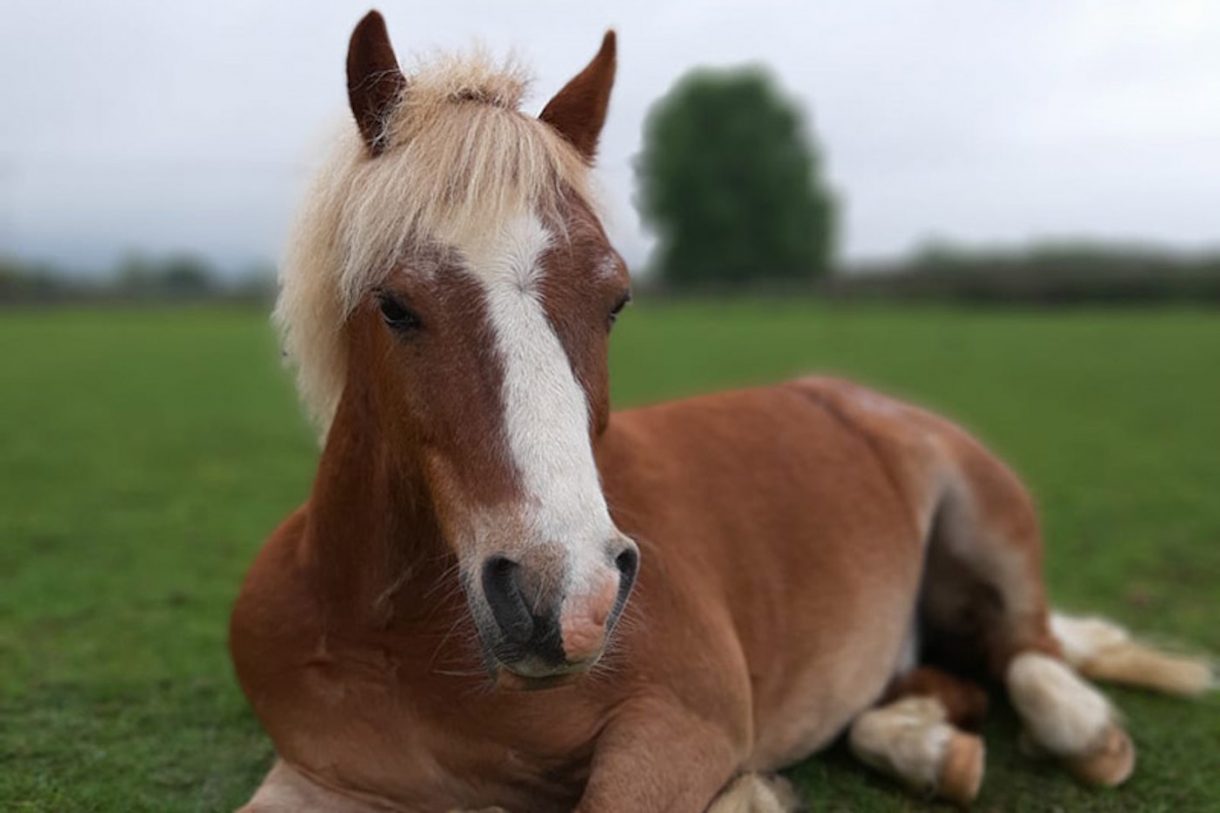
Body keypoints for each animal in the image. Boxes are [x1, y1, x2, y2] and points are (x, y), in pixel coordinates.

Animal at [229, 11, 1213, 811]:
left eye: (616, 299)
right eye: (396, 306)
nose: (566, 597)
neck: (390, 633)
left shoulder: (676, 727)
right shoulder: (316, 779)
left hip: (988, 525)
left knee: (1030, 651)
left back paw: (1080, 730)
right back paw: (928, 749)